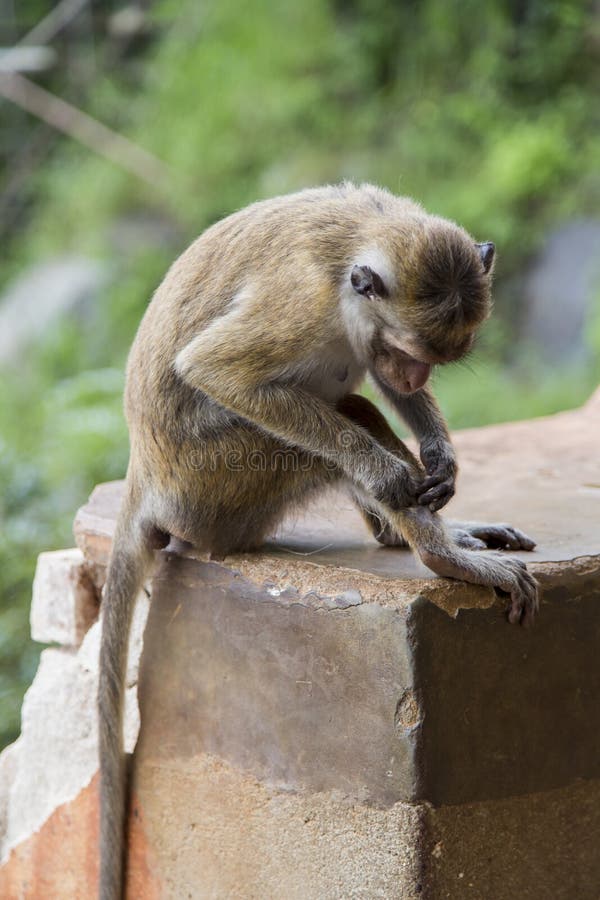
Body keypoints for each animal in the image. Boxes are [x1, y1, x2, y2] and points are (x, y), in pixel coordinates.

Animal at [98, 182, 538, 899]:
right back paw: (437, 551)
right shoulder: (300, 305)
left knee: (352, 404)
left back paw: (423, 535)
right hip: (215, 485)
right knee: (335, 418)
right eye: (408, 351)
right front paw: (395, 479)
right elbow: (215, 370)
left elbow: (379, 397)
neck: (360, 244)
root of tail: (148, 479)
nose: (416, 379)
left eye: (429, 359)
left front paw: (440, 458)